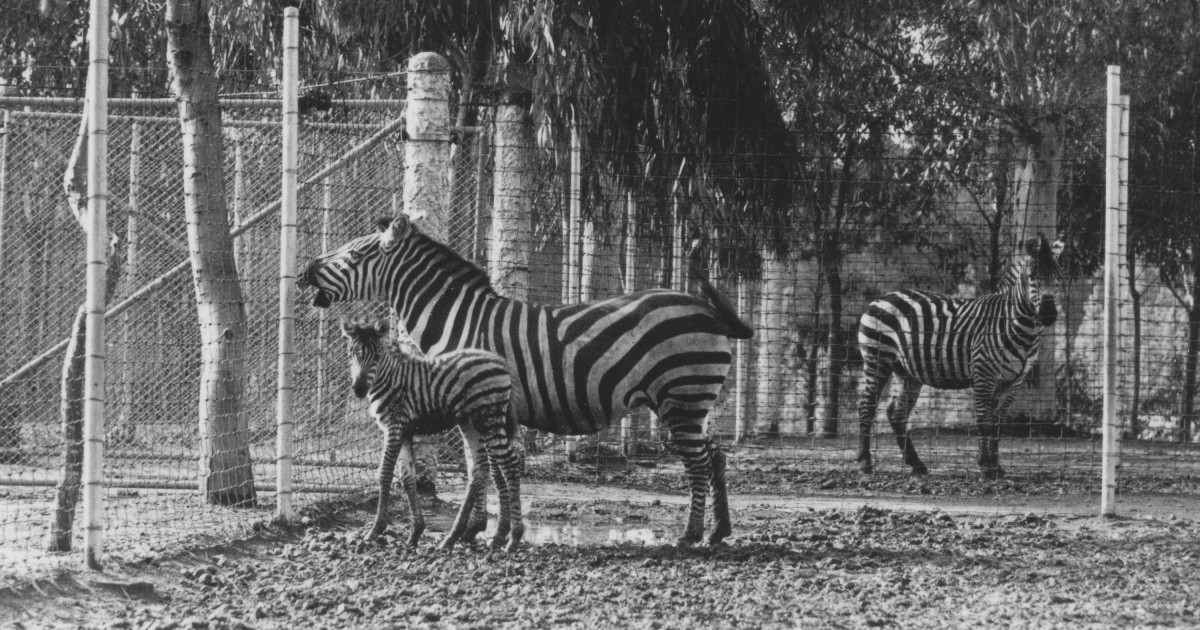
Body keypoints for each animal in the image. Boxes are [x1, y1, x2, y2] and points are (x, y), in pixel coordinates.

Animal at [340, 318, 523, 551]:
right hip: (470, 423)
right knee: (477, 470)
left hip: (490, 419)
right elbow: (407, 478)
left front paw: (375, 530)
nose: (359, 389)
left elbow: (384, 474)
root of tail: (501, 363)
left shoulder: (394, 427)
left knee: (510, 464)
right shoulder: (404, 431)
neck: (390, 377)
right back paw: (453, 537)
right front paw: (415, 532)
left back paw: (514, 538)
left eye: (377, 356)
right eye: (351, 354)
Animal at [856, 235, 1063, 479]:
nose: (1048, 314)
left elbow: (998, 424)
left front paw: (995, 465)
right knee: (867, 406)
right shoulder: (984, 374)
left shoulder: (1015, 381)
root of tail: (881, 298)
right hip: (878, 359)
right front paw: (986, 466)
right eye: (1032, 277)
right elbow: (984, 421)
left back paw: (916, 464)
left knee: (896, 413)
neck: (1020, 328)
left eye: (1058, 276)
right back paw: (865, 463)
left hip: (906, 372)